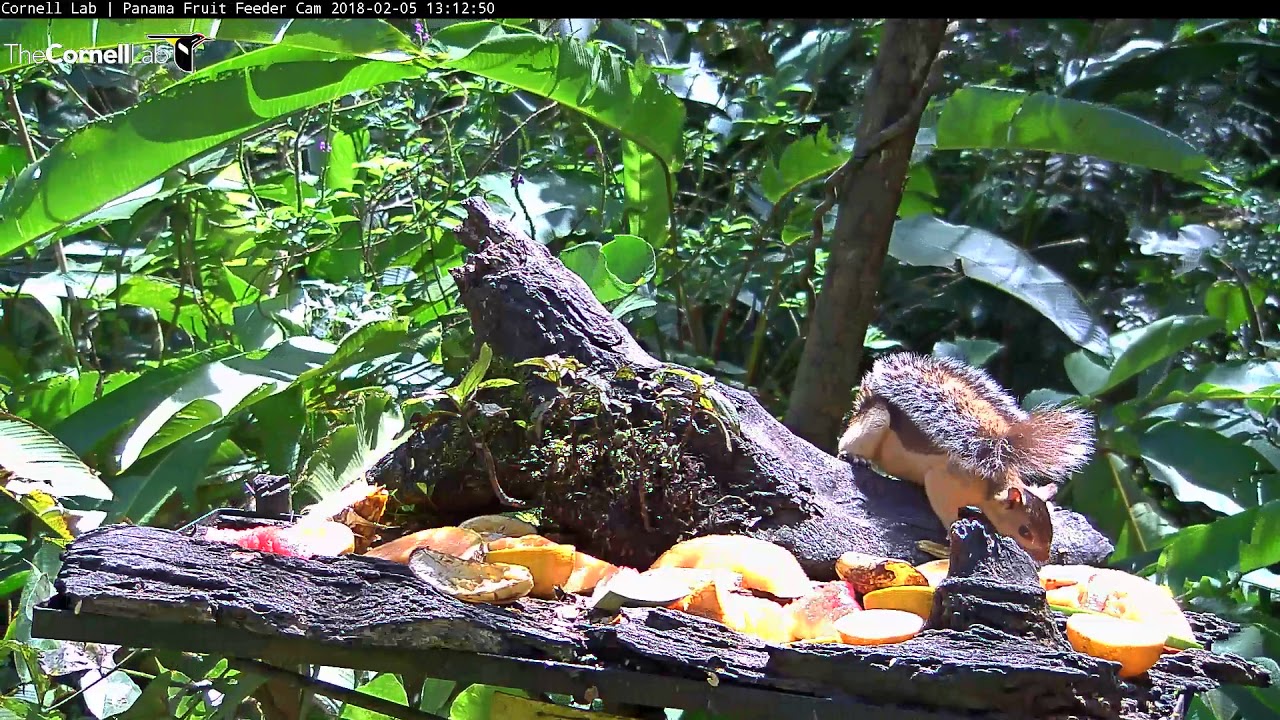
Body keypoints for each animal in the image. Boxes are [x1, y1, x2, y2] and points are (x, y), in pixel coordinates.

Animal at [837, 352, 1094, 562]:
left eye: (1050, 529)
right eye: (1024, 531)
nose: (1043, 558)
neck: (991, 483)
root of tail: (868, 395)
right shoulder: (945, 481)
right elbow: (943, 505)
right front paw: (954, 529)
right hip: (875, 422)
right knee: (847, 443)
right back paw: (855, 456)